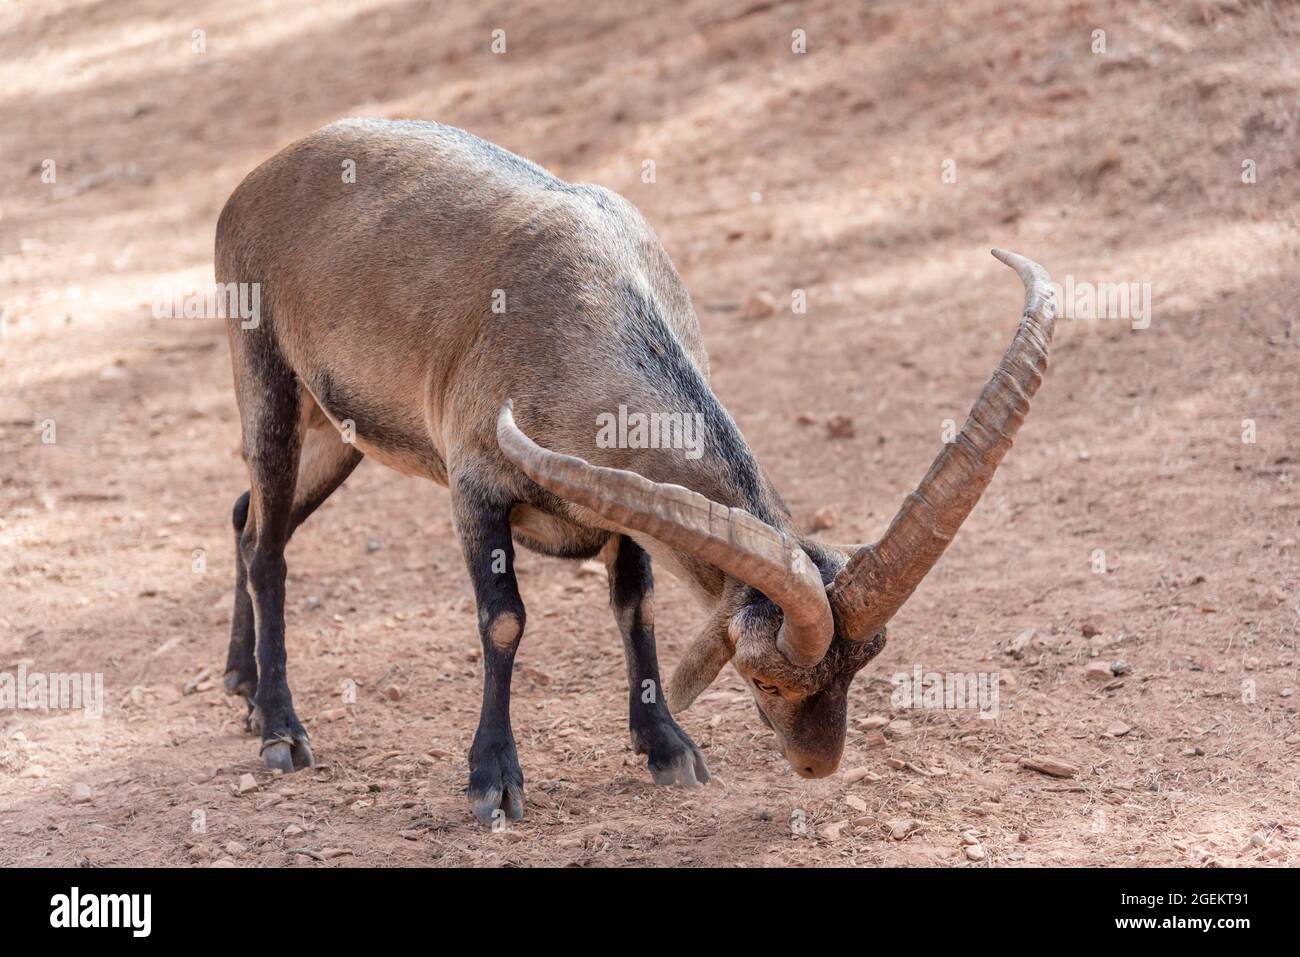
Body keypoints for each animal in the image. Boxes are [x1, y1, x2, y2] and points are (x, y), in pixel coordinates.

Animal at [216, 118, 1057, 825]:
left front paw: (666, 745)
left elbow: (635, 606)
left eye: (867, 659)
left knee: (246, 515)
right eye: (764, 678)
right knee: (270, 548)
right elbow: (504, 619)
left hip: (341, 433)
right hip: (265, 376)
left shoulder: (620, 508)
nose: (816, 763)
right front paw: (493, 779)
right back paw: (281, 730)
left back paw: (243, 684)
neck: (582, 318)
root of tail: (250, 186)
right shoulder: (475, 484)